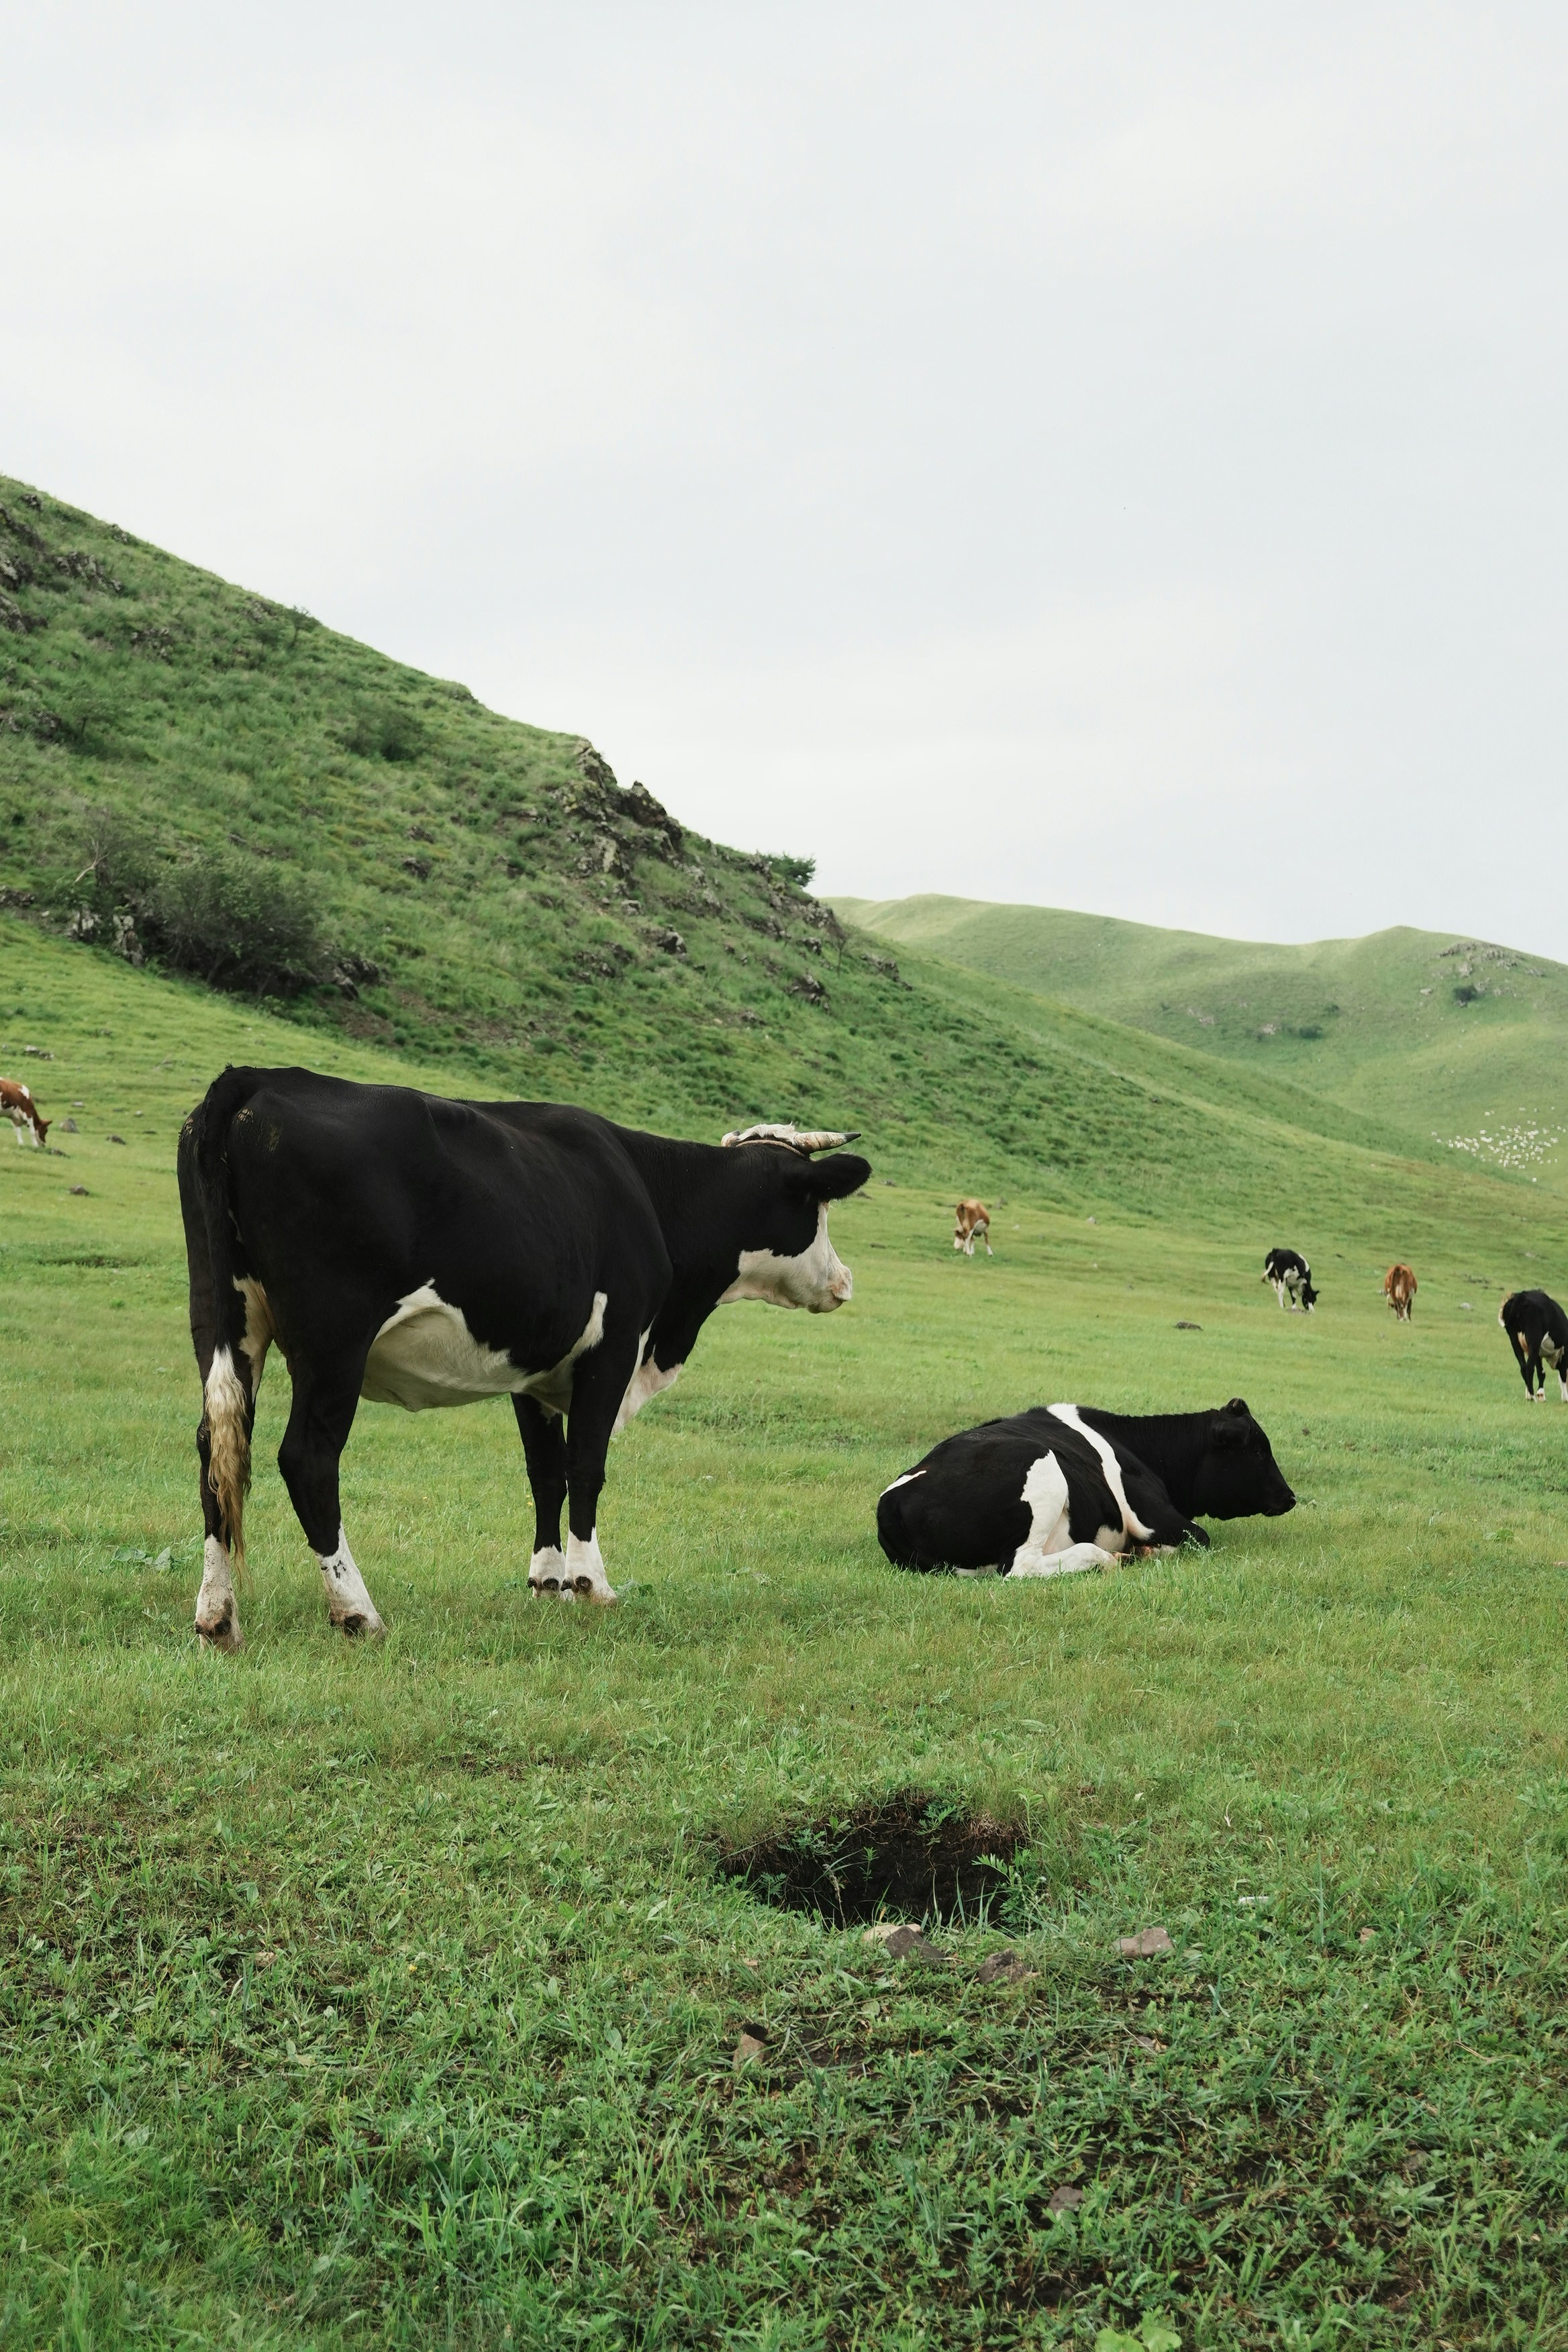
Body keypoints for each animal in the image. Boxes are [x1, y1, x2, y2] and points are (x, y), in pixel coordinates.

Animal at [178, 1071, 869, 1651]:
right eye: (819, 1209)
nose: (845, 1280)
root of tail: (256, 1080)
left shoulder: (536, 1371)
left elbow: (546, 1473)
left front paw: (547, 1582)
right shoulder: (612, 1347)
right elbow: (586, 1467)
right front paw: (592, 1585)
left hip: (225, 1321)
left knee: (217, 1448)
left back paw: (217, 1617)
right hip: (333, 1342)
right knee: (307, 1459)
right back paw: (357, 1611)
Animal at [877, 1398, 1296, 1577]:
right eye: (1259, 1451)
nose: (1290, 1497)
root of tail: (891, 1503)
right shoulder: (1154, 1518)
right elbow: (1201, 1537)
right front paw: (1147, 1551)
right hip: (1043, 1472)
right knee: (1021, 1567)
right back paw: (1111, 1558)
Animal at [1498, 1289, 1568, 1402]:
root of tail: (1521, 1296)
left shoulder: (1539, 1353)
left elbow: (1541, 1372)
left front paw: (1541, 1395)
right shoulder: (1564, 1349)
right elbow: (1562, 1374)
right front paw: (1565, 1398)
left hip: (1514, 1338)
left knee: (1523, 1367)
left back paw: (1529, 1395)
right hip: (1534, 1337)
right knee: (1529, 1366)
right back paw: (1532, 1397)